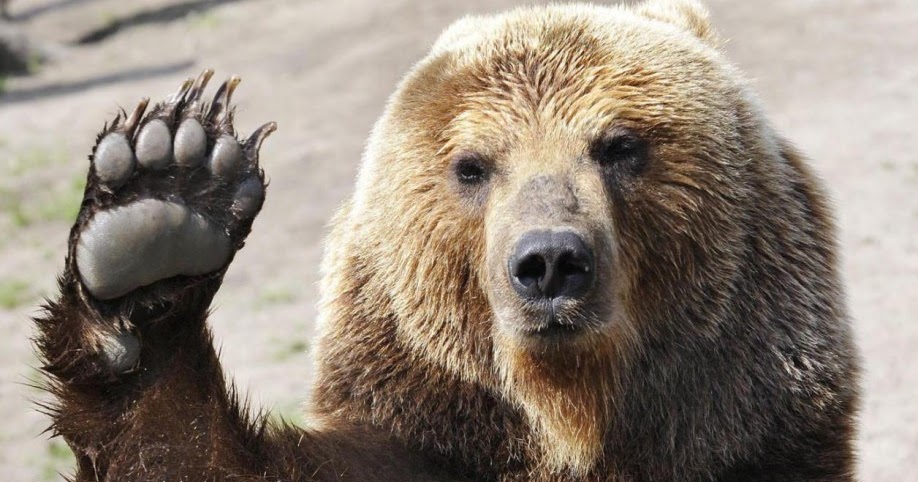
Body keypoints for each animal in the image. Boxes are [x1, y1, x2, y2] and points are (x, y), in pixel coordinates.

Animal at [33, 0, 859, 481]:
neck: (570, 419)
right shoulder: (428, 435)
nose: (550, 263)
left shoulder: (756, 440)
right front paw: (162, 204)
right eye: (472, 165)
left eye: (620, 145)